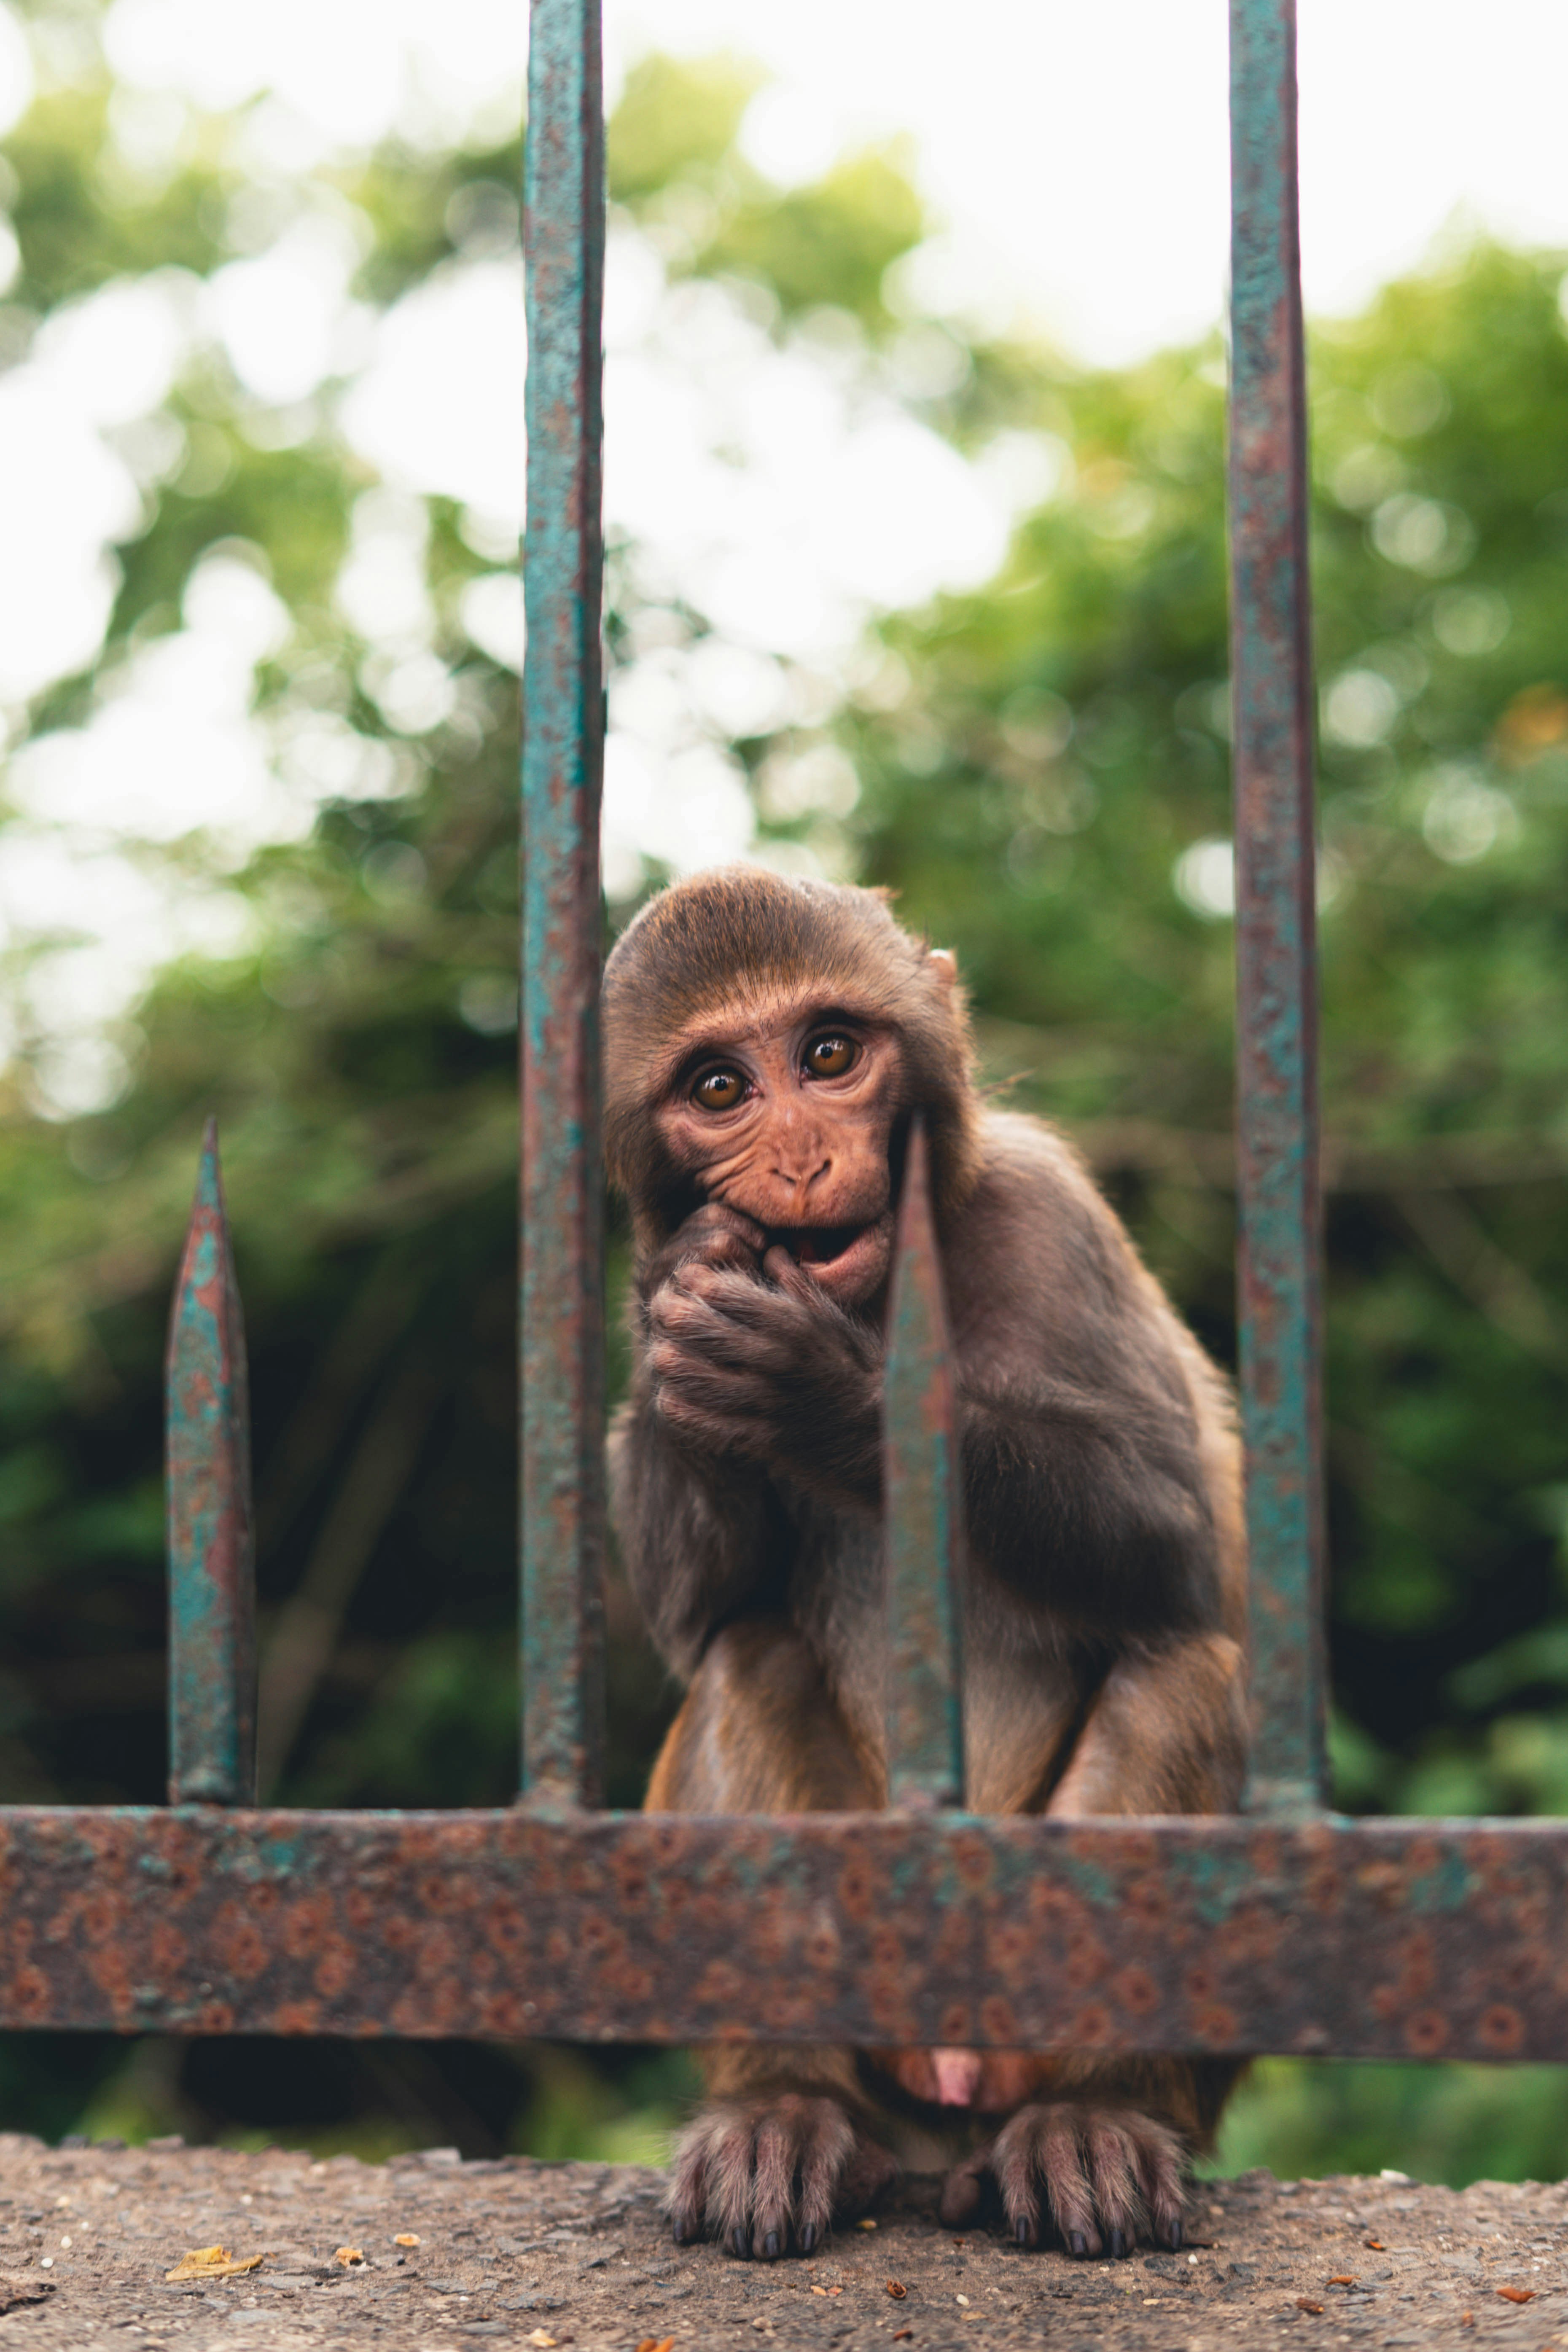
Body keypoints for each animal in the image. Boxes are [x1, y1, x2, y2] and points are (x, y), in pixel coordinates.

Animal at [602, 866, 1248, 2266]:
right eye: (719, 1087)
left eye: (827, 1056)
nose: (800, 1157)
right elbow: (699, 1613)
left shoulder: (1048, 1213)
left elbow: (1174, 1533)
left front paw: (826, 1393)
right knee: (744, 1661)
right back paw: (782, 2109)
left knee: (1188, 1663)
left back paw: (1094, 2113)